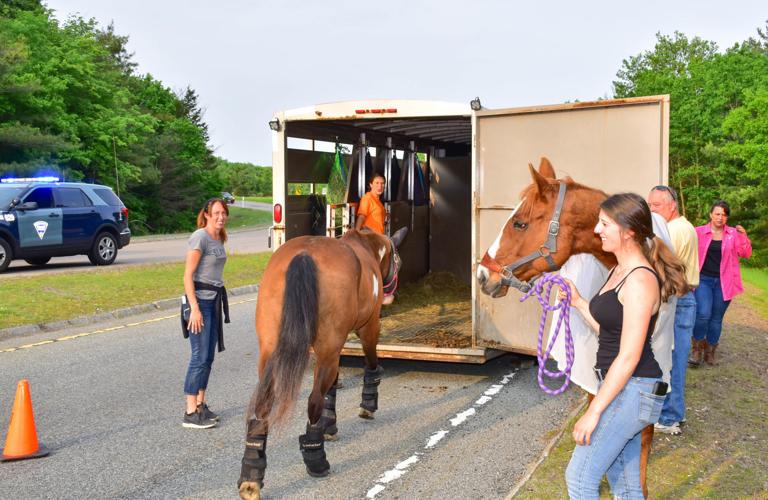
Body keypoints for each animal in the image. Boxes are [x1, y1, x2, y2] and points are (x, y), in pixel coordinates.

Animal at [237, 226, 407, 500]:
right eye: (398, 261)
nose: (391, 294)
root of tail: (304, 255)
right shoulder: (368, 327)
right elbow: (369, 365)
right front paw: (368, 404)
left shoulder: (333, 350)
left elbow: (332, 386)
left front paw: (330, 424)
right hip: (330, 345)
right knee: (313, 400)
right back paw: (316, 460)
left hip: (271, 350)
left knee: (263, 404)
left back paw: (252, 475)